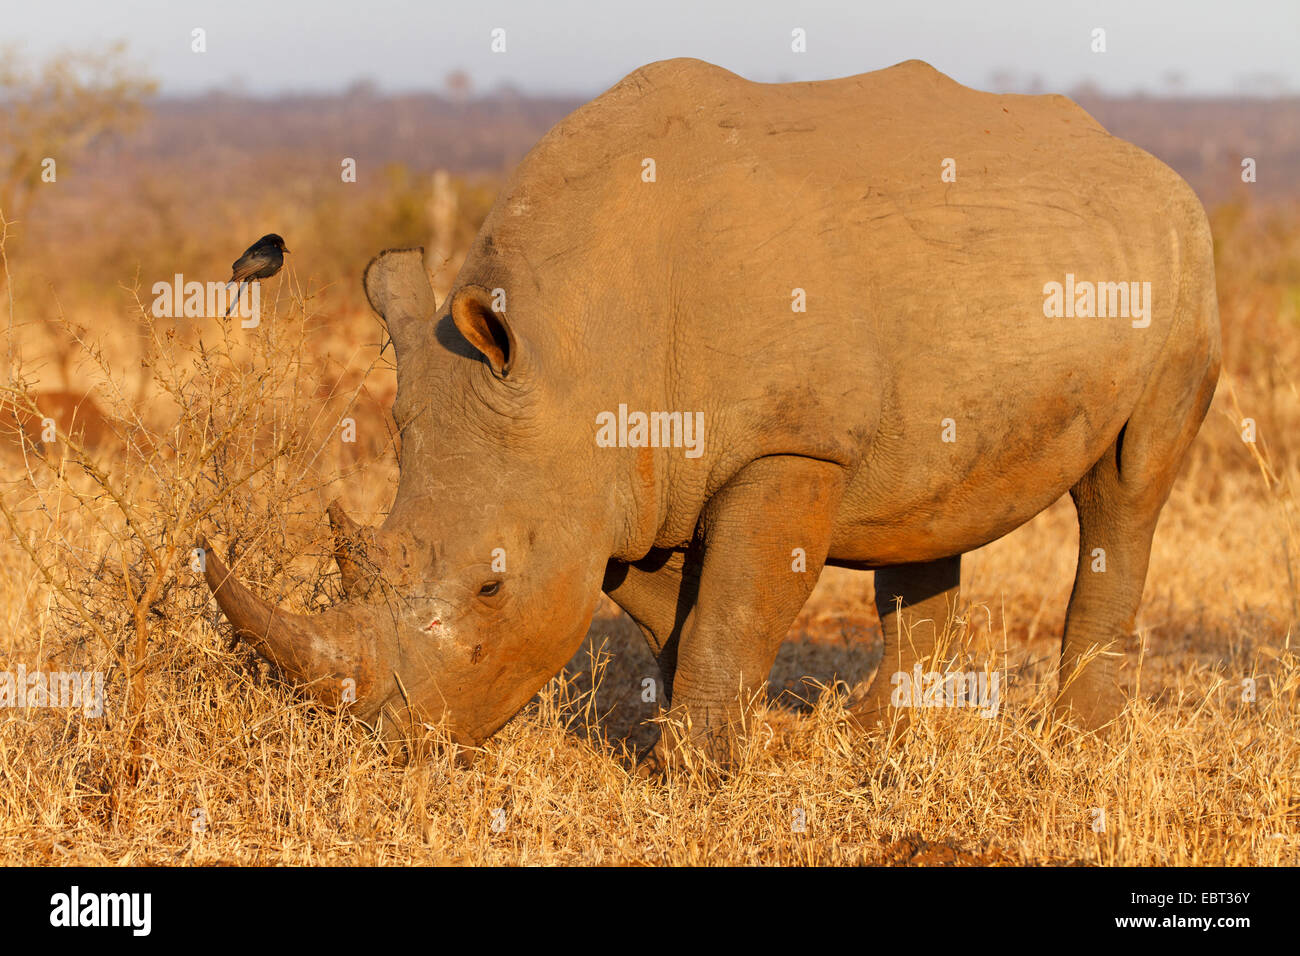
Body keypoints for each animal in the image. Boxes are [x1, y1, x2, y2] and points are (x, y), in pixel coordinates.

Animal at [203, 58, 1220, 766]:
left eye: (491, 589)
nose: (394, 741)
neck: (578, 344)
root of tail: (1149, 164)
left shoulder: (788, 446)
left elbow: (731, 605)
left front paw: (696, 775)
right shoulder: (622, 474)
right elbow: (675, 611)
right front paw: (709, 743)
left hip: (1181, 257)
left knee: (1126, 491)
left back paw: (1073, 746)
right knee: (929, 506)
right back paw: (878, 743)